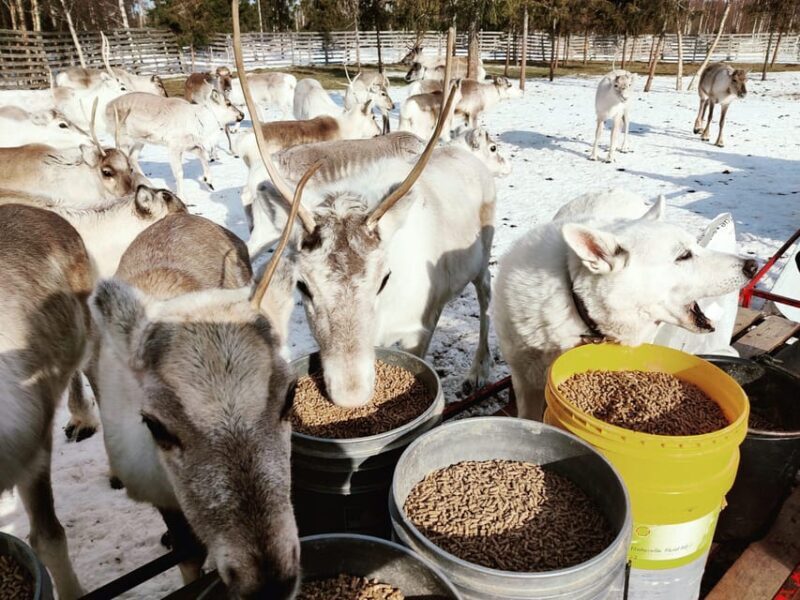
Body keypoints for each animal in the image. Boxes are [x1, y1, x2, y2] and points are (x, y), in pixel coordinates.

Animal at [107, 90, 244, 197]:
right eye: (228, 103)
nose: (242, 114)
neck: (201, 121)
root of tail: (107, 106)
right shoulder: (174, 147)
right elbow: (179, 173)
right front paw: (183, 198)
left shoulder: (189, 145)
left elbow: (202, 155)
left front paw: (208, 181)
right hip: (123, 139)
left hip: (140, 140)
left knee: (132, 158)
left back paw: (149, 184)